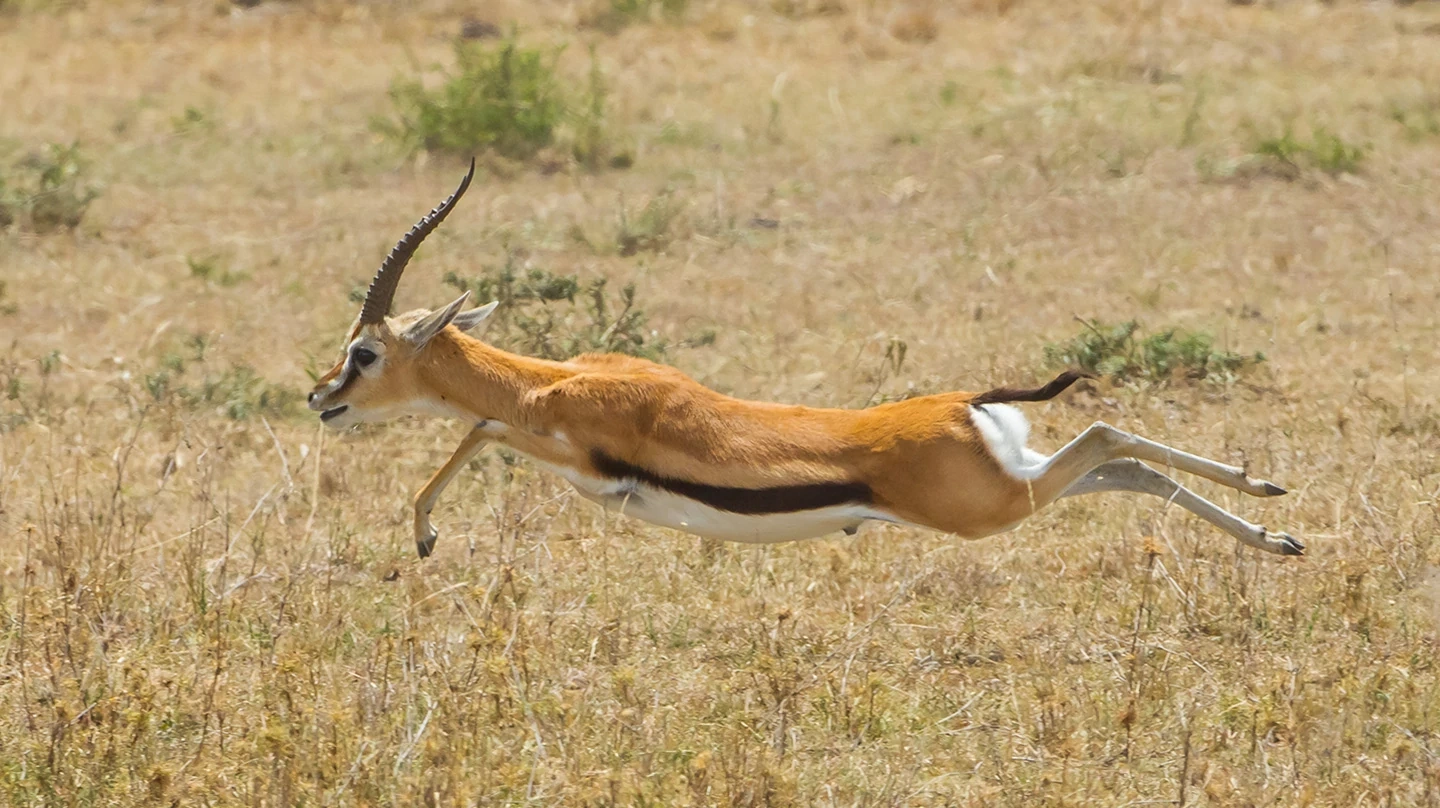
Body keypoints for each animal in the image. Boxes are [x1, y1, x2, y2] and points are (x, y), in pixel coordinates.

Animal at [307, 161, 1303, 560]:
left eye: (364, 351)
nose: (319, 397)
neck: (561, 379)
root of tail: (961, 402)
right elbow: (476, 428)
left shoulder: (568, 452)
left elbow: (478, 427)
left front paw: (426, 536)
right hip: (1013, 483)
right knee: (1118, 461)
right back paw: (1275, 522)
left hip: (991, 506)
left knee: (1103, 437)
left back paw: (1272, 515)